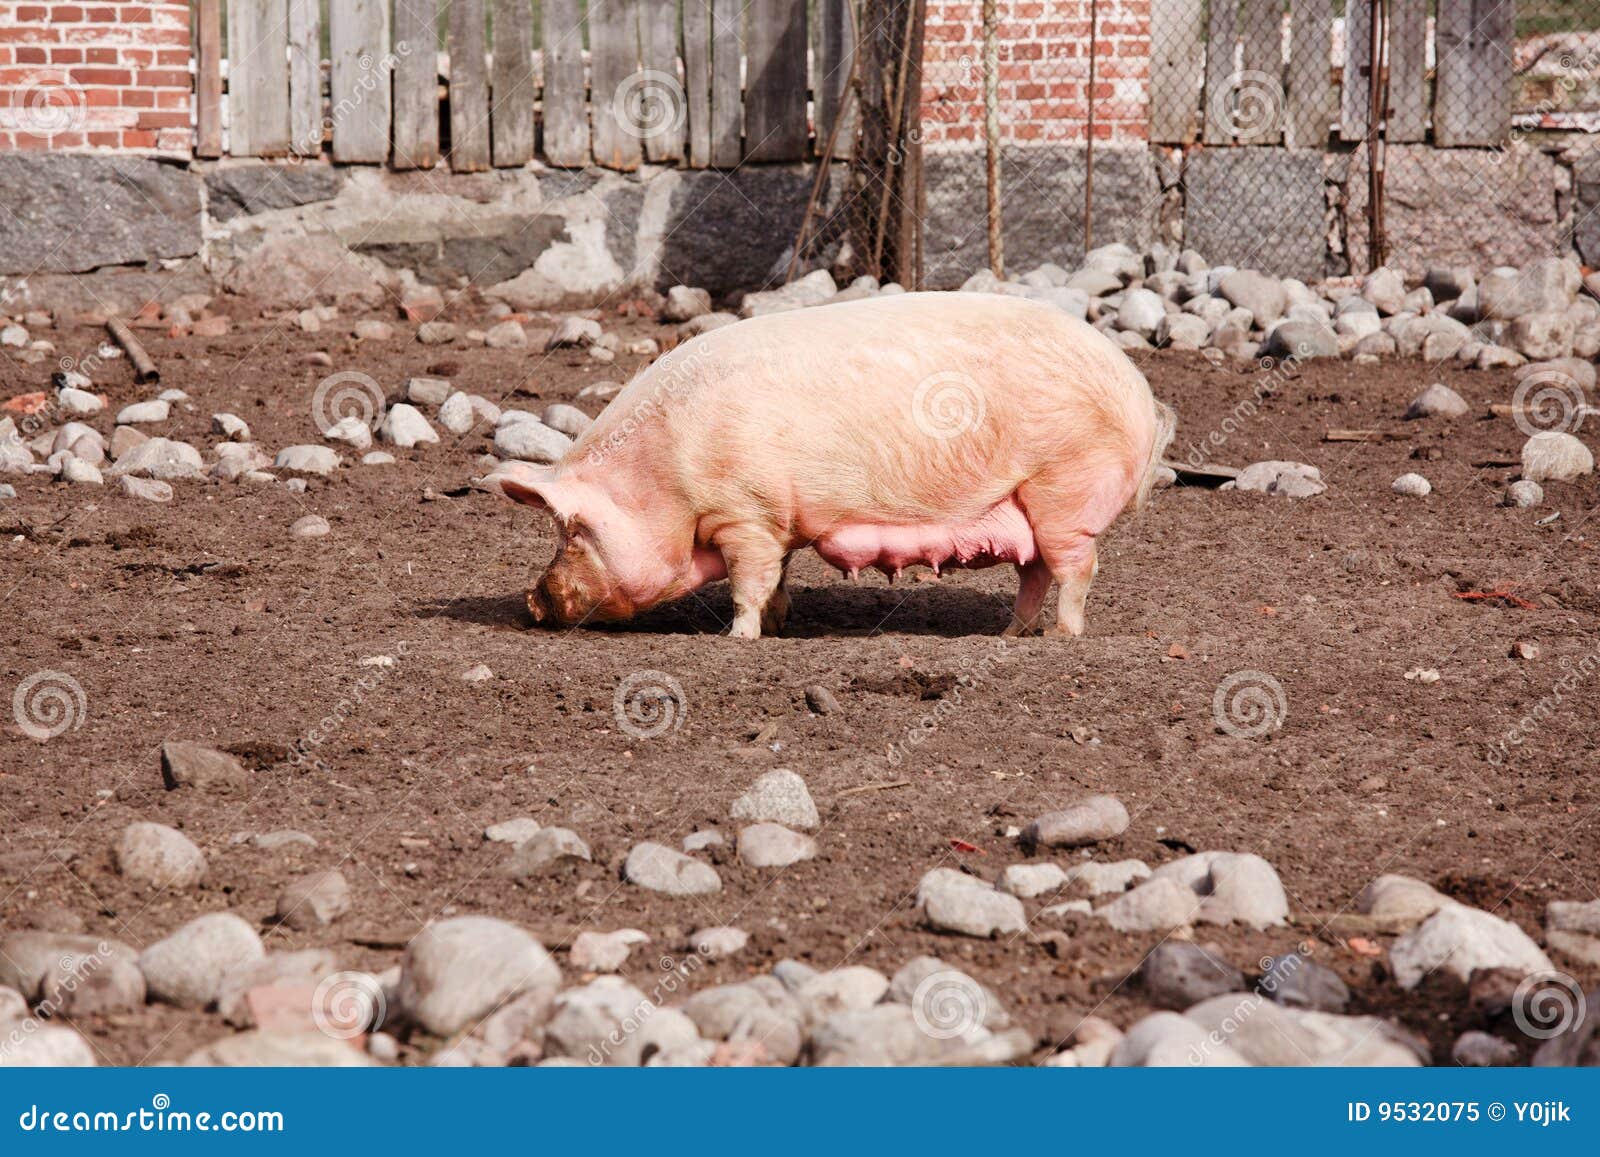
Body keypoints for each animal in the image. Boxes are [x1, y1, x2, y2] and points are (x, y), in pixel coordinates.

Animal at [485, 291, 1174, 638]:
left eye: (574, 531)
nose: (533, 602)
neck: (662, 476)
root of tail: (1141, 395)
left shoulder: (746, 514)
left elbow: (750, 579)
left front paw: (739, 639)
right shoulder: (775, 518)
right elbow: (780, 575)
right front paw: (780, 625)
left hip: (1066, 488)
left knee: (1077, 567)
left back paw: (1062, 638)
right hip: (1025, 502)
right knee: (1033, 571)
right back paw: (1010, 636)